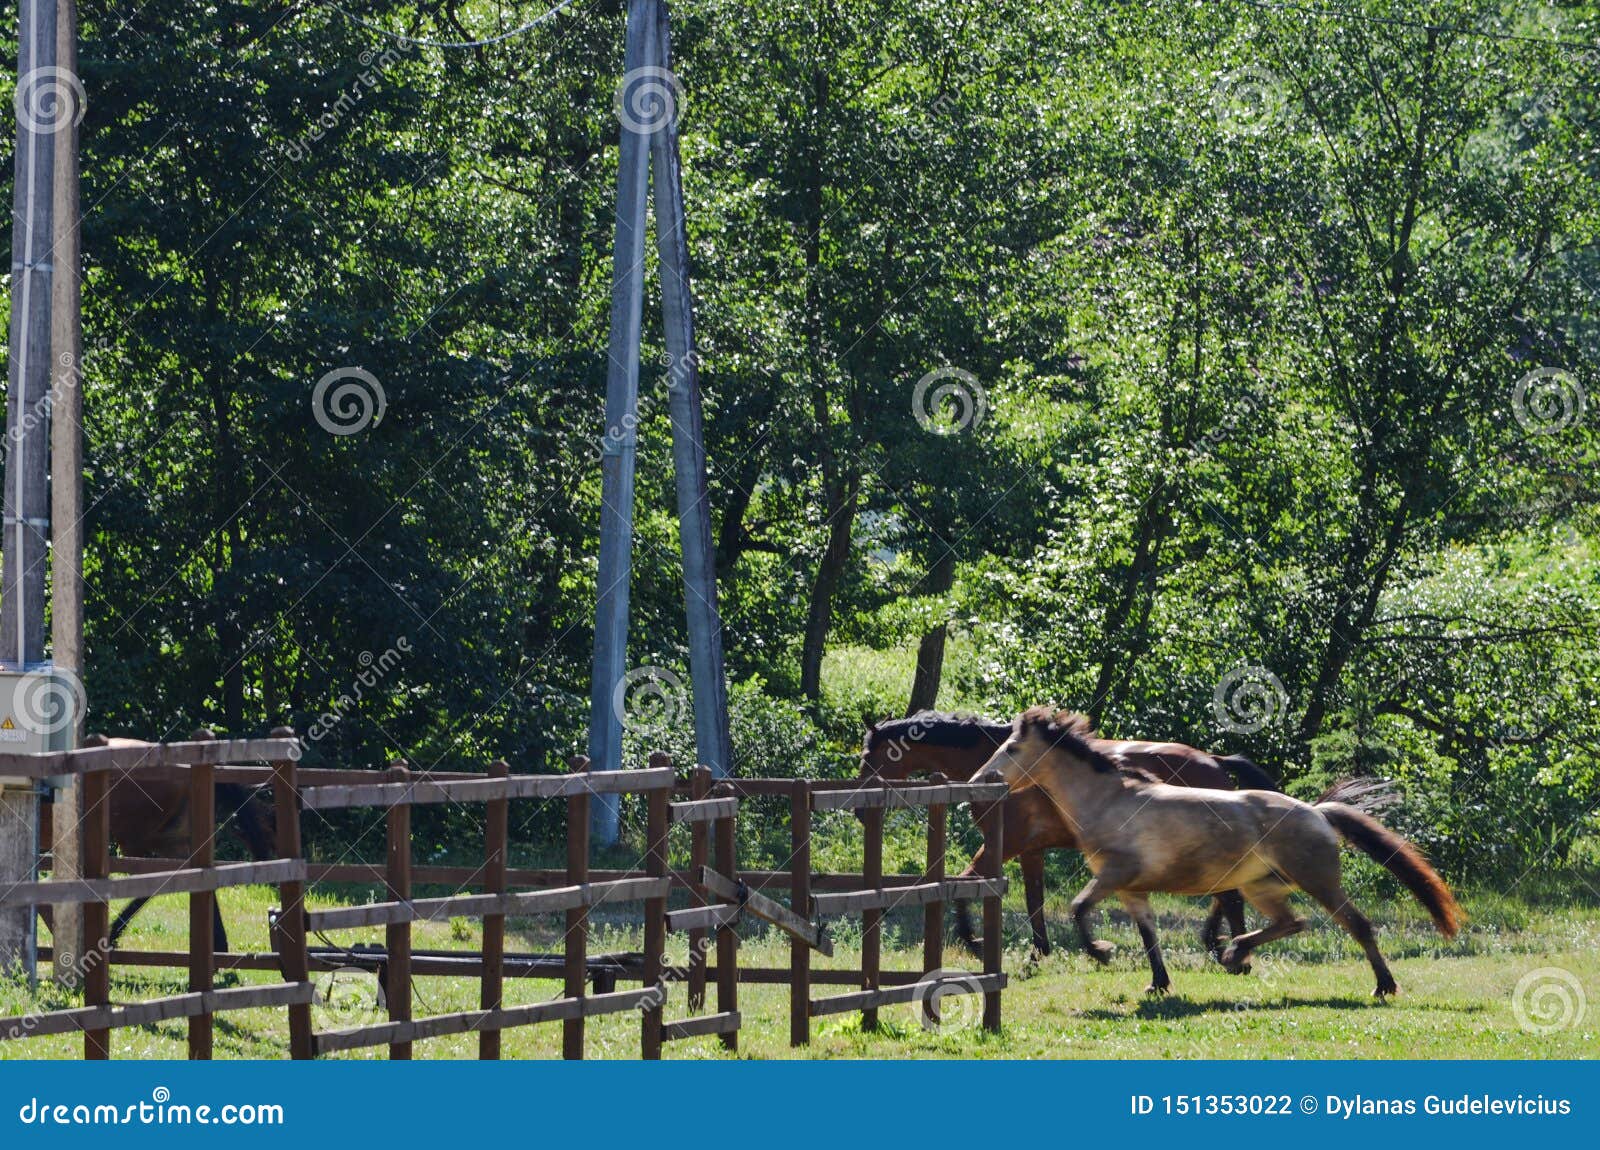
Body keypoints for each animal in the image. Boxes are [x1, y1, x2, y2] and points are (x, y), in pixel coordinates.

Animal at [861, 711, 1279, 958]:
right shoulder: (1029, 850)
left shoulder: (1003, 845)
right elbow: (1034, 899)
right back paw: (1218, 939)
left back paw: (1229, 942)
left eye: (869, 758)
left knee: (1228, 892)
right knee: (1225, 890)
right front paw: (1041, 948)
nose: (860, 810)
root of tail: (1214, 761)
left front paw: (973, 940)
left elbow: (964, 883)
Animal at [982, 707, 1462, 996]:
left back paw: (1382, 986)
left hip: (1318, 881)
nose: (984, 778)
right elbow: (1148, 935)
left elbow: (1078, 908)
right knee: (1291, 922)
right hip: (1260, 887)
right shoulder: (1131, 889)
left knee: (1356, 925)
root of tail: (1318, 812)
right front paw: (1158, 984)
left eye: (1012, 748)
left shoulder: (1115, 875)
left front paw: (1101, 952)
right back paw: (1235, 953)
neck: (1110, 798)